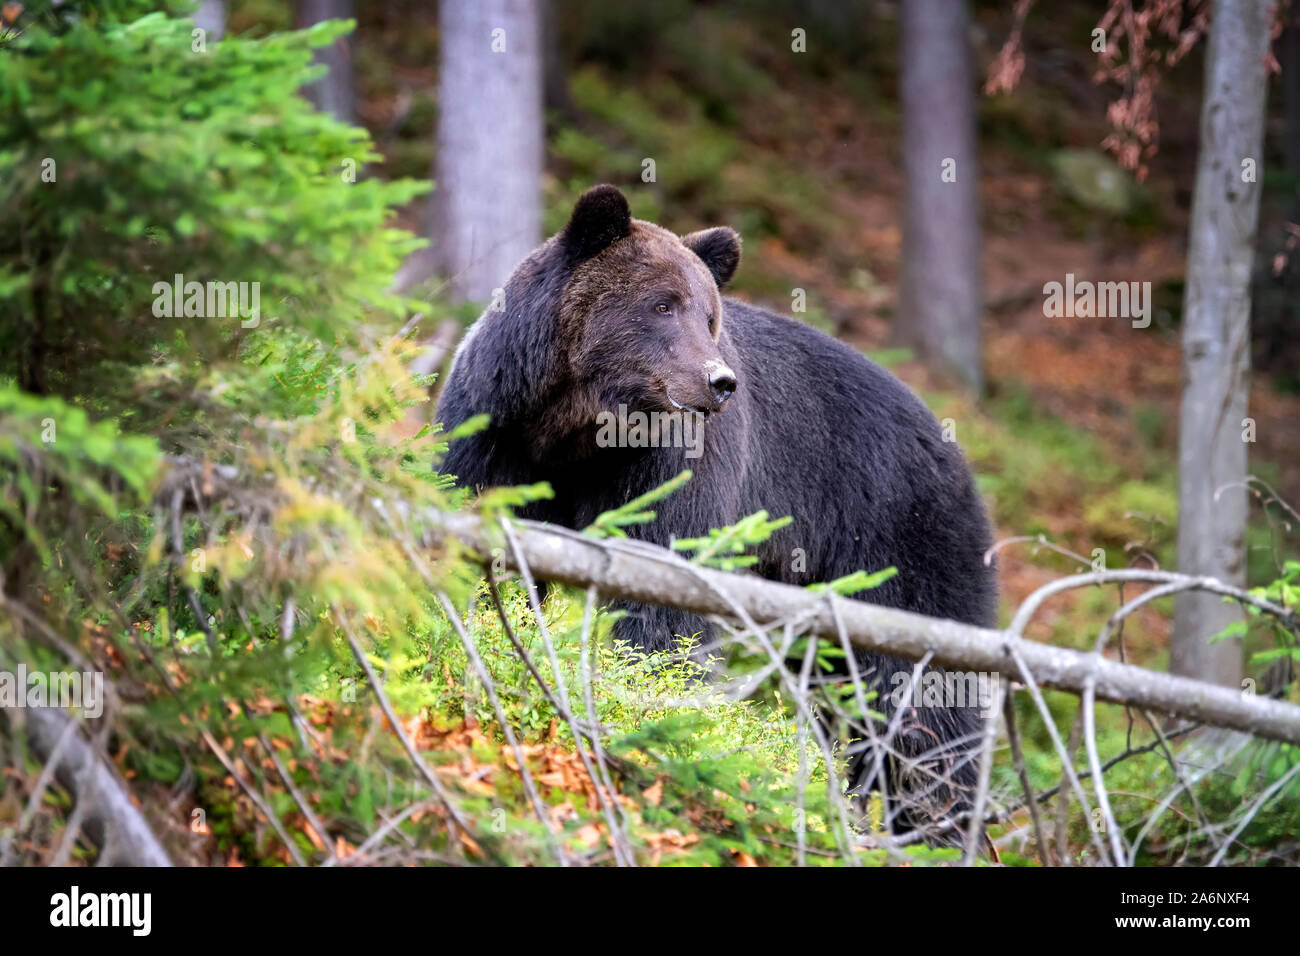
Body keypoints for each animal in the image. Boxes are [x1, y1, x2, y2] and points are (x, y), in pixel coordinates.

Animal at [435, 184, 998, 844]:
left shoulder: (669, 464)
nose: (719, 382)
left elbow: (660, 591)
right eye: (662, 305)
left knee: (925, 701)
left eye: (708, 316)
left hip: (902, 543)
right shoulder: (496, 431)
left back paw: (936, 822)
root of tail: (954, 449)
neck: (576, 428)